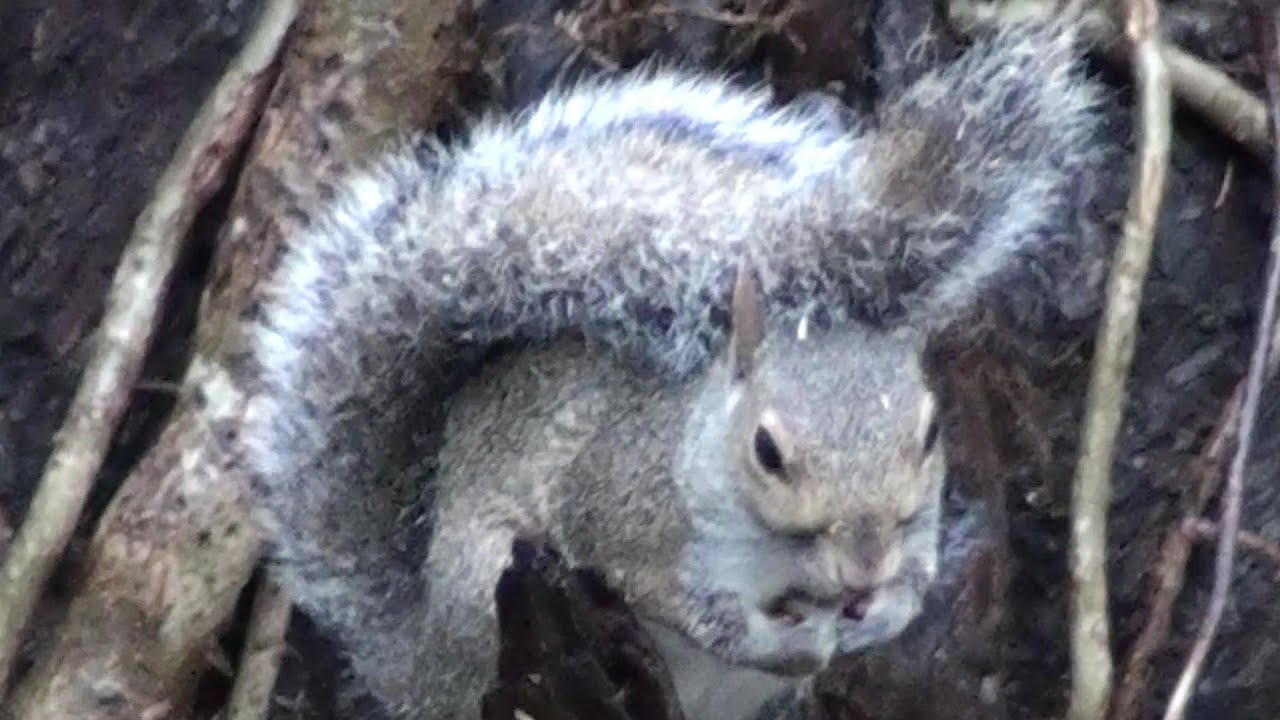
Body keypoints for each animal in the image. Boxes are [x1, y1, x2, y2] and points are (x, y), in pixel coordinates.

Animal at [234, 19, 1104, 720]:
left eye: (928, 433)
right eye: (766, 450)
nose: (863, 565)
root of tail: (421, 675)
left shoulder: (912, 534)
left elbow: (914, 584)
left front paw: (882, 611)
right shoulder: (627, 521)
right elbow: (679, 602)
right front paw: (781, 640)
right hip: (493, 605)